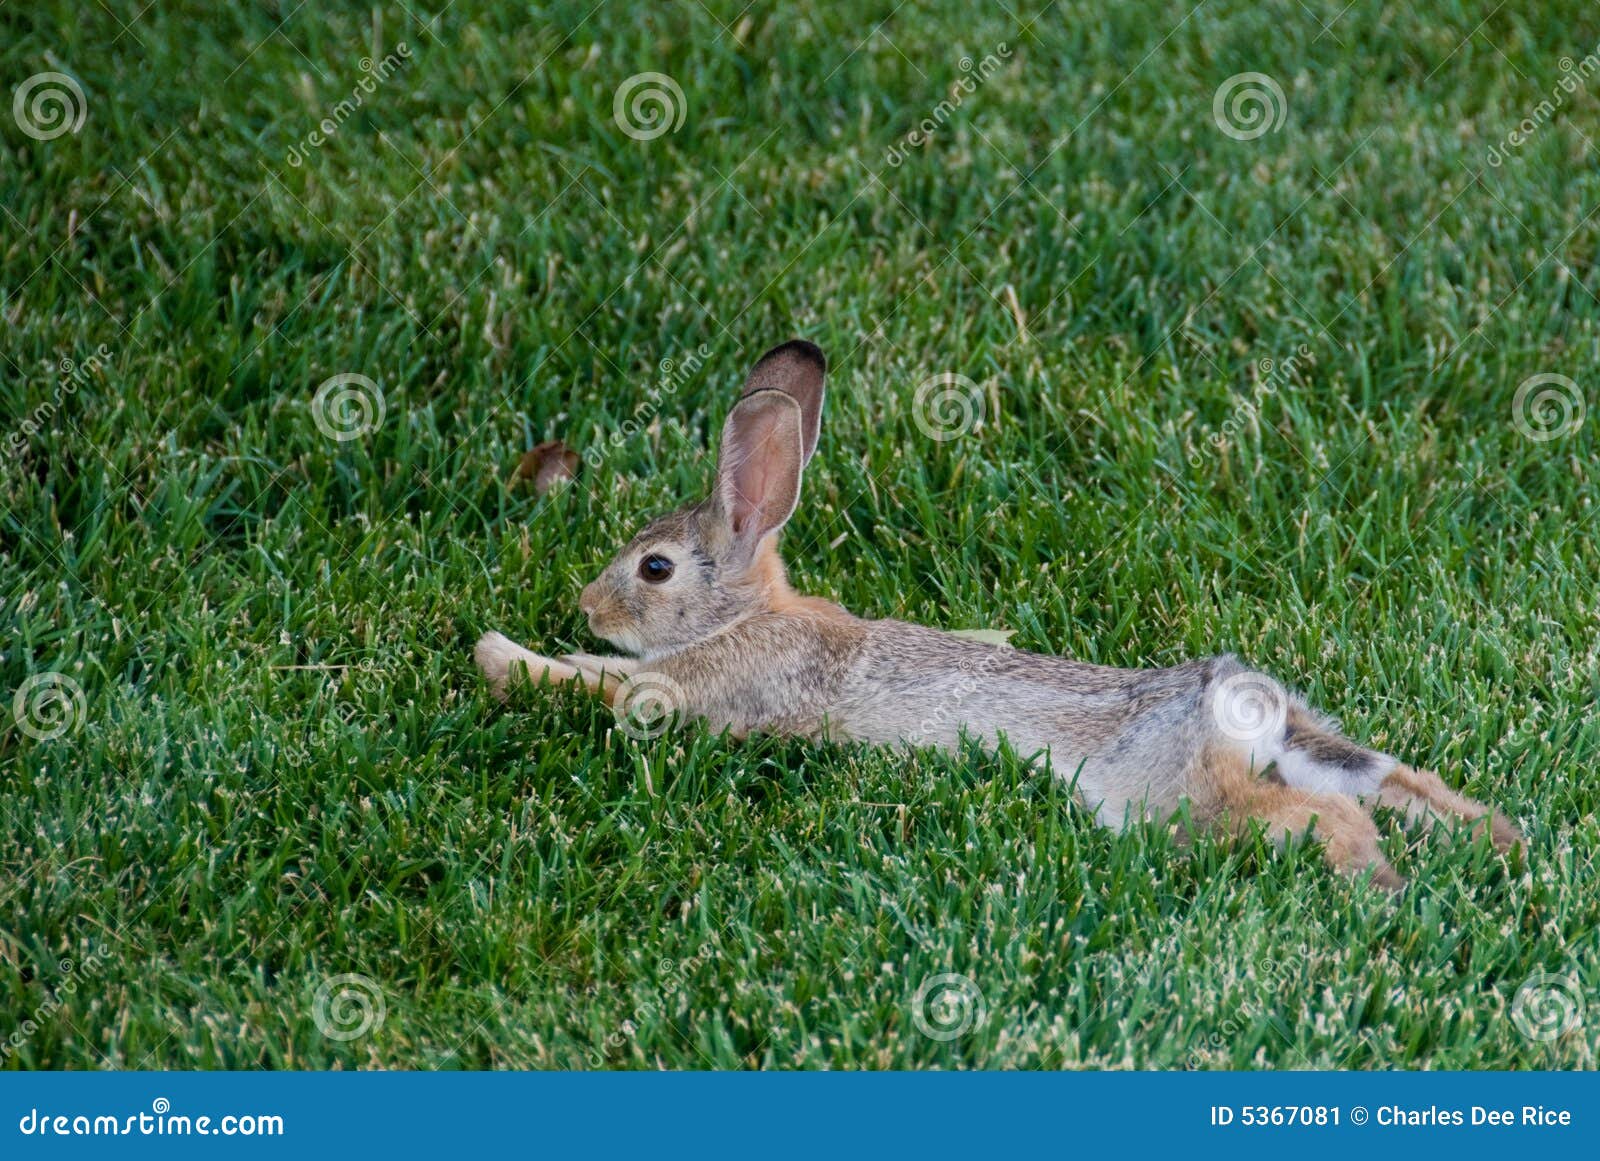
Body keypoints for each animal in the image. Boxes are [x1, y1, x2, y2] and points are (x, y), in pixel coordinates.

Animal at [476, 340, 1522, 890]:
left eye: (652, 568)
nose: (586, 601)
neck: (742, 613)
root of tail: (1238, 698)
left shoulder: (700, 691)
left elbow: (604, 688)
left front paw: (500, 656)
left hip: (1169, 798)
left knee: (1302, 815)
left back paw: (1375, 880)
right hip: (1313, 745)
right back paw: (1495, 841)